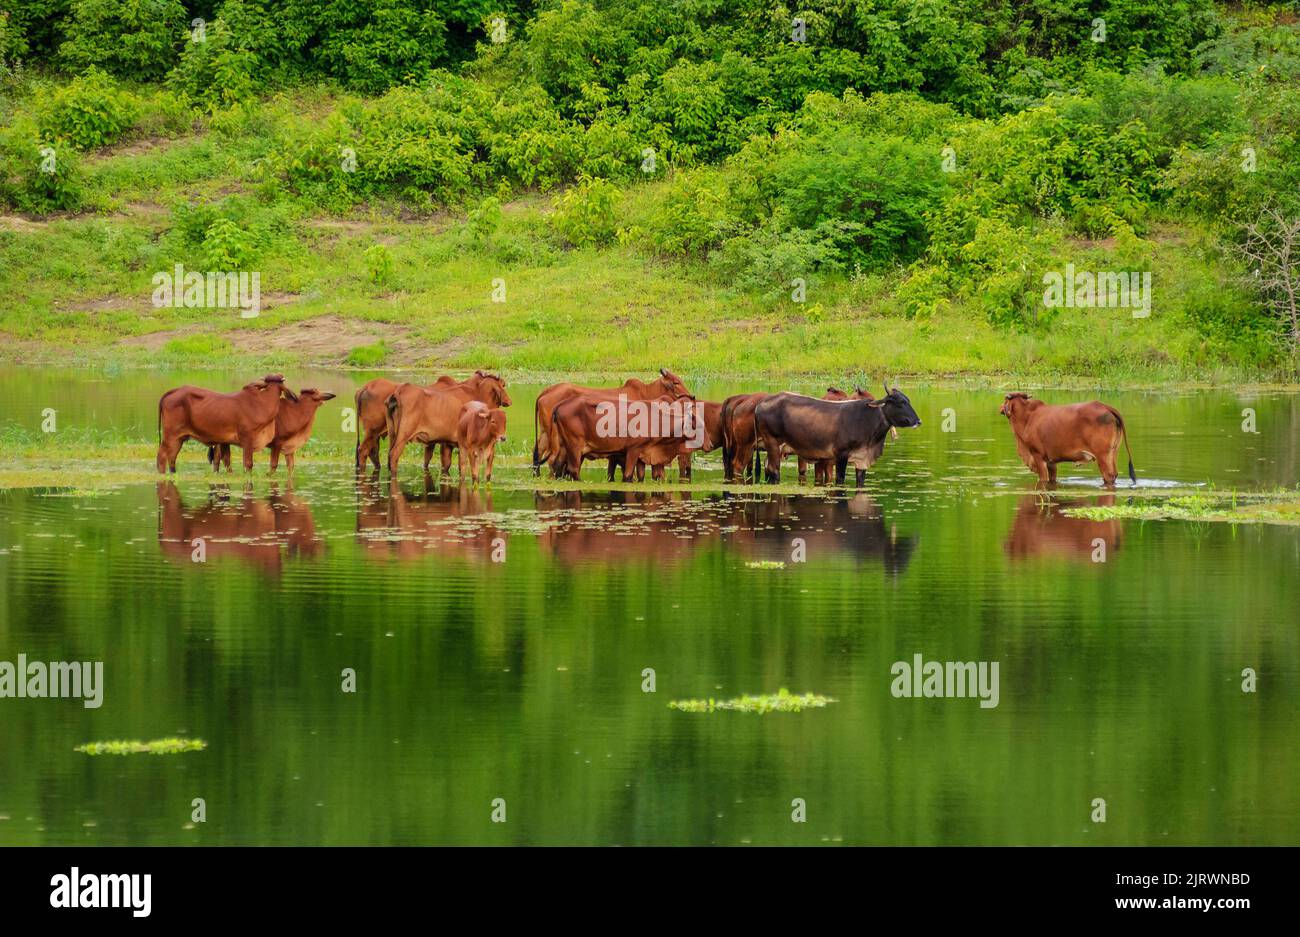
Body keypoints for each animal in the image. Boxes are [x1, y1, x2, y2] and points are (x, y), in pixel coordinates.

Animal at [156, 374, 296, 474]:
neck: (262, 404)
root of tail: (174, 391)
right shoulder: (247, 439)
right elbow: (248, 464)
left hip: (179, 438)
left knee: (172, 458)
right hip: (170, 435)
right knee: (162, 456)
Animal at [354, 371, 503, 471]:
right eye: (504, 385)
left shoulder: (441, 442)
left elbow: (435, 461)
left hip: (388, 433)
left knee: (376, 453)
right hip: (386, 433)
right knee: (377, 452)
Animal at [532, 368, 693, 474]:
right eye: (676, 382)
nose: (692, 396)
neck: (646, 393)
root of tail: (545, 392)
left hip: (545, 432)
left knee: (538, 452)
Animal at [754, 383, 921, 486]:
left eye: (908, 400)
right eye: (900, 403)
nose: (918, 421)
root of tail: (760, 405)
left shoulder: (861, 459)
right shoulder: (841, 455)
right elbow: (840, 479)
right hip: (773, 444)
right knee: (773, 471)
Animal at [999, 393, 1136, 487]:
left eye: (1005, 400)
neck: (1027, 417)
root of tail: (1105, 406)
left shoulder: (1037, 455)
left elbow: (1043, 479)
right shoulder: (1051, 461)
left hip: (1103, 455)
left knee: (1109, 476)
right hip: (1113, 452)